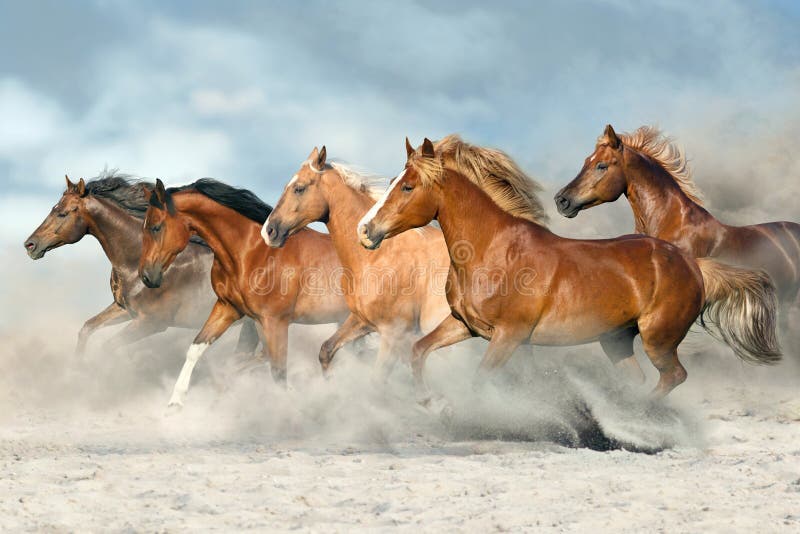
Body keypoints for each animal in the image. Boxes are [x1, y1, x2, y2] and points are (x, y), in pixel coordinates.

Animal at [23, 173, 259, 356]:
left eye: (62, 213)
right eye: (53, 208)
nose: (30, 245)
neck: (134, 262)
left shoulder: (151, 323)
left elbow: (108, 347)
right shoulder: (124, 309)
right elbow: (87, 328)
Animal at [138, 178, 349, 407]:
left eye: (156, 227)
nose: (146, 276)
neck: (252, 253)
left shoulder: (275, 321)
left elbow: (277, 371)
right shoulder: (229, 308)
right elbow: (197, 348)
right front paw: (174, 404)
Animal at [261, 148, 450, 381]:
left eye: (299, 188)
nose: (268, 231)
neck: (380, 255)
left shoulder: (393, 333)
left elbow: (378, 379)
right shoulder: (362, 320)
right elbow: (326, 350)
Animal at [357, 136, 781, 403]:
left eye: (408, 186)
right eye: (394, 181)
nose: (365, 230)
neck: (492, 249)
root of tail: (695, 264)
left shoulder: (509, 336)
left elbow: (480, 381)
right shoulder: (467, 326)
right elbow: (418, 352)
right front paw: (430, 402)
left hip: (658, 339)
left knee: (673, 377)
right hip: (615, 341)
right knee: (640, 379)